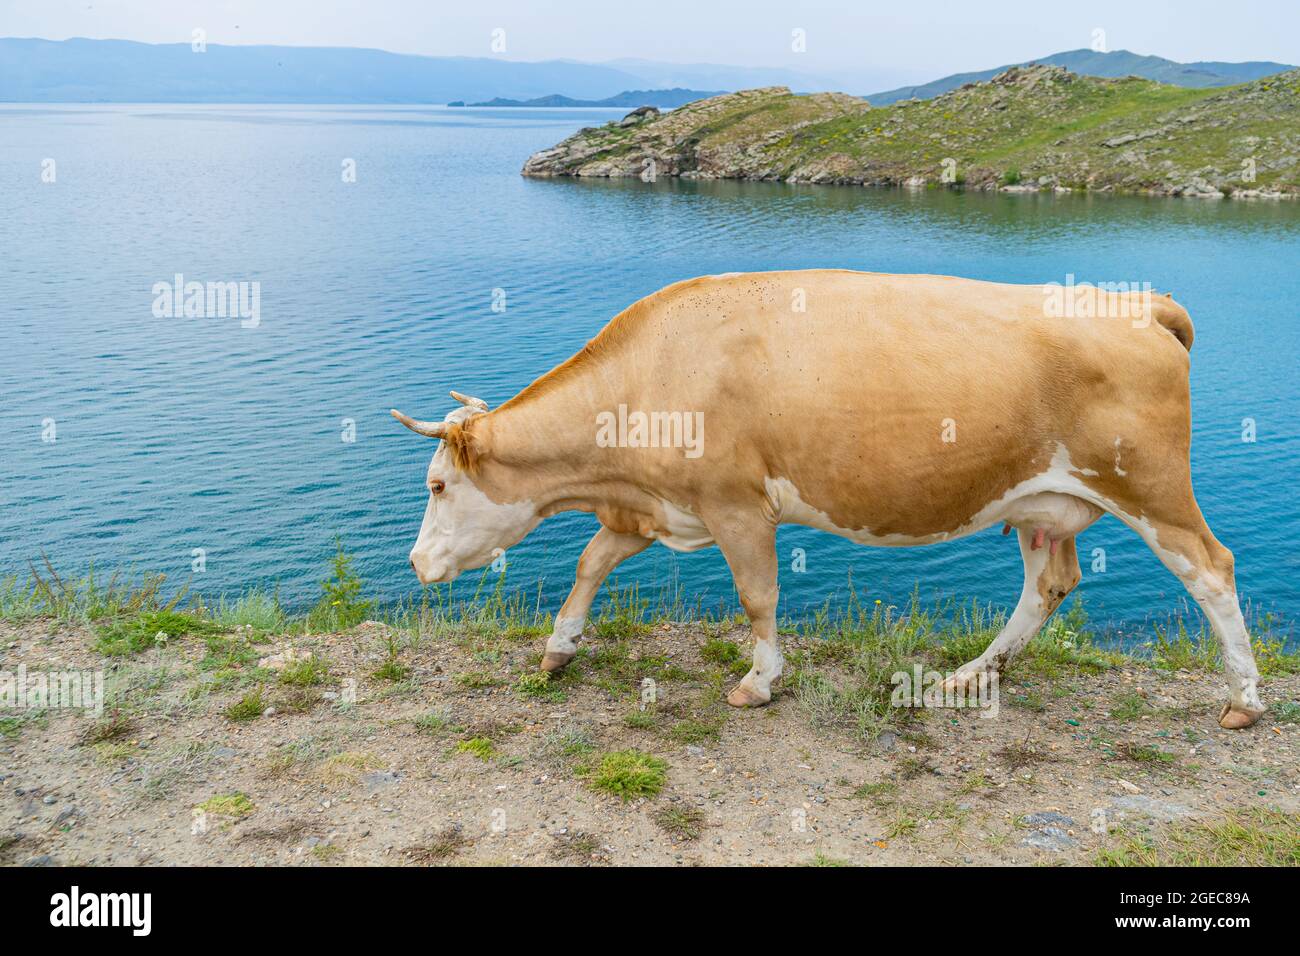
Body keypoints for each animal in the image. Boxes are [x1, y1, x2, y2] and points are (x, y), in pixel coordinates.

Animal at [391, 270, 1266, 730]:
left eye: (436, 484)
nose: (415, 562)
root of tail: (1141, 303)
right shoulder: (659, 506)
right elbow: (590, 560)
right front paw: (559, 648)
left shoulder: (736, 504)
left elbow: (757, 596)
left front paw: (760, 680)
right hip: (1043, 501)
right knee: (1048, 585)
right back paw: (968, 677)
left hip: (1150, 485)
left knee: (1212, 570)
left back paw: (1245, 700)